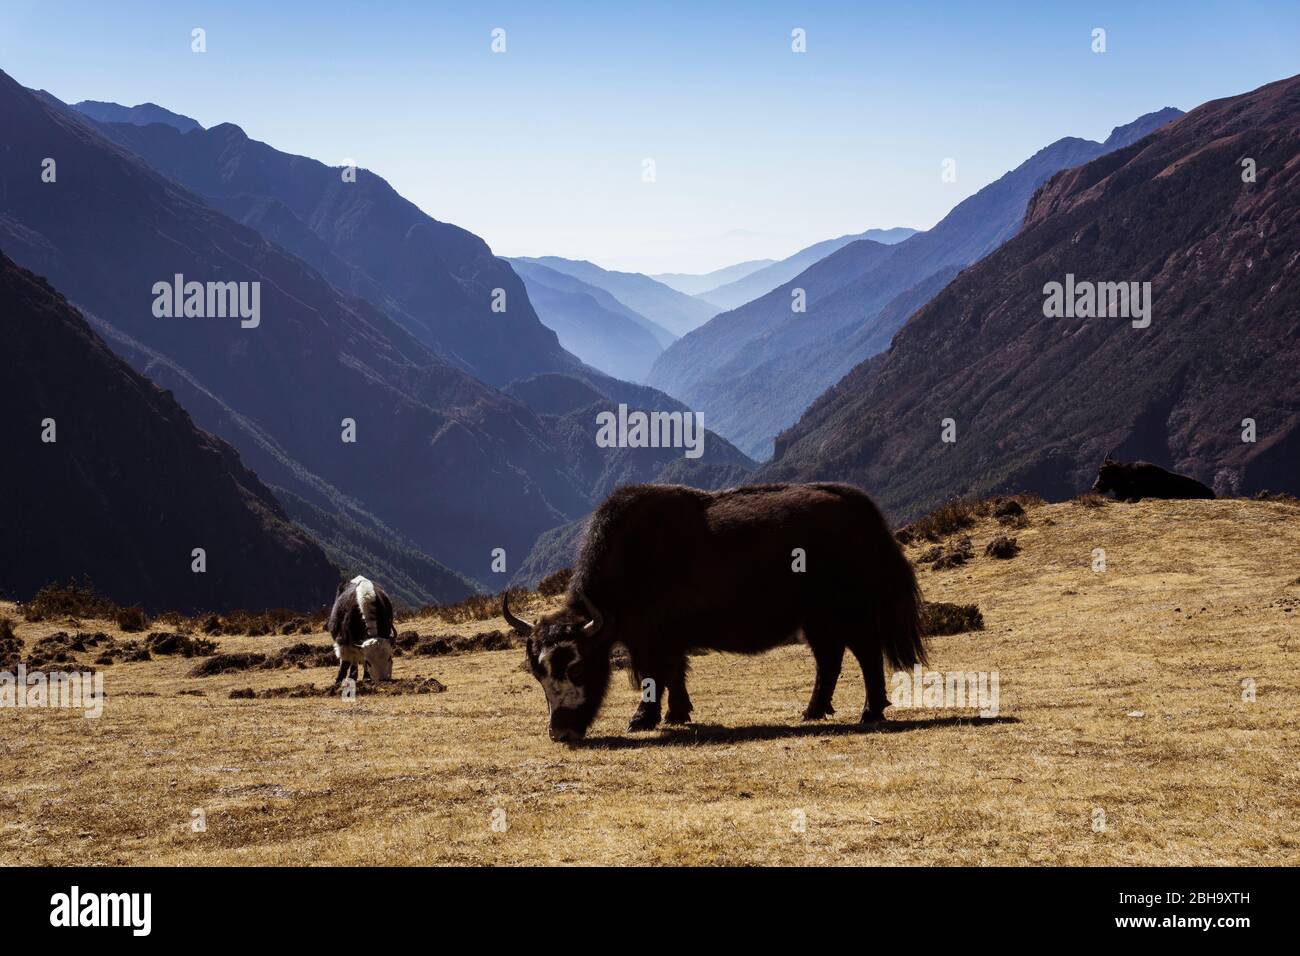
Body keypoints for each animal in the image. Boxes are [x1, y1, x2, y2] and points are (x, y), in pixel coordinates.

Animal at [503, 482, 927, 743]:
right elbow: (675, 672)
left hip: (847, 610)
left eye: (576, 669)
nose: (561, 733)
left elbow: (653, 675)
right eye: (538, 675)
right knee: (830, 658)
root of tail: (859, 507)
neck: (629, 562)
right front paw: (678, 714)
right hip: (818, 618)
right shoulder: (667, 637)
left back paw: (870, 712)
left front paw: (642, 719)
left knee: (866, 653)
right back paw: (814, 711)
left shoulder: (650, 639)